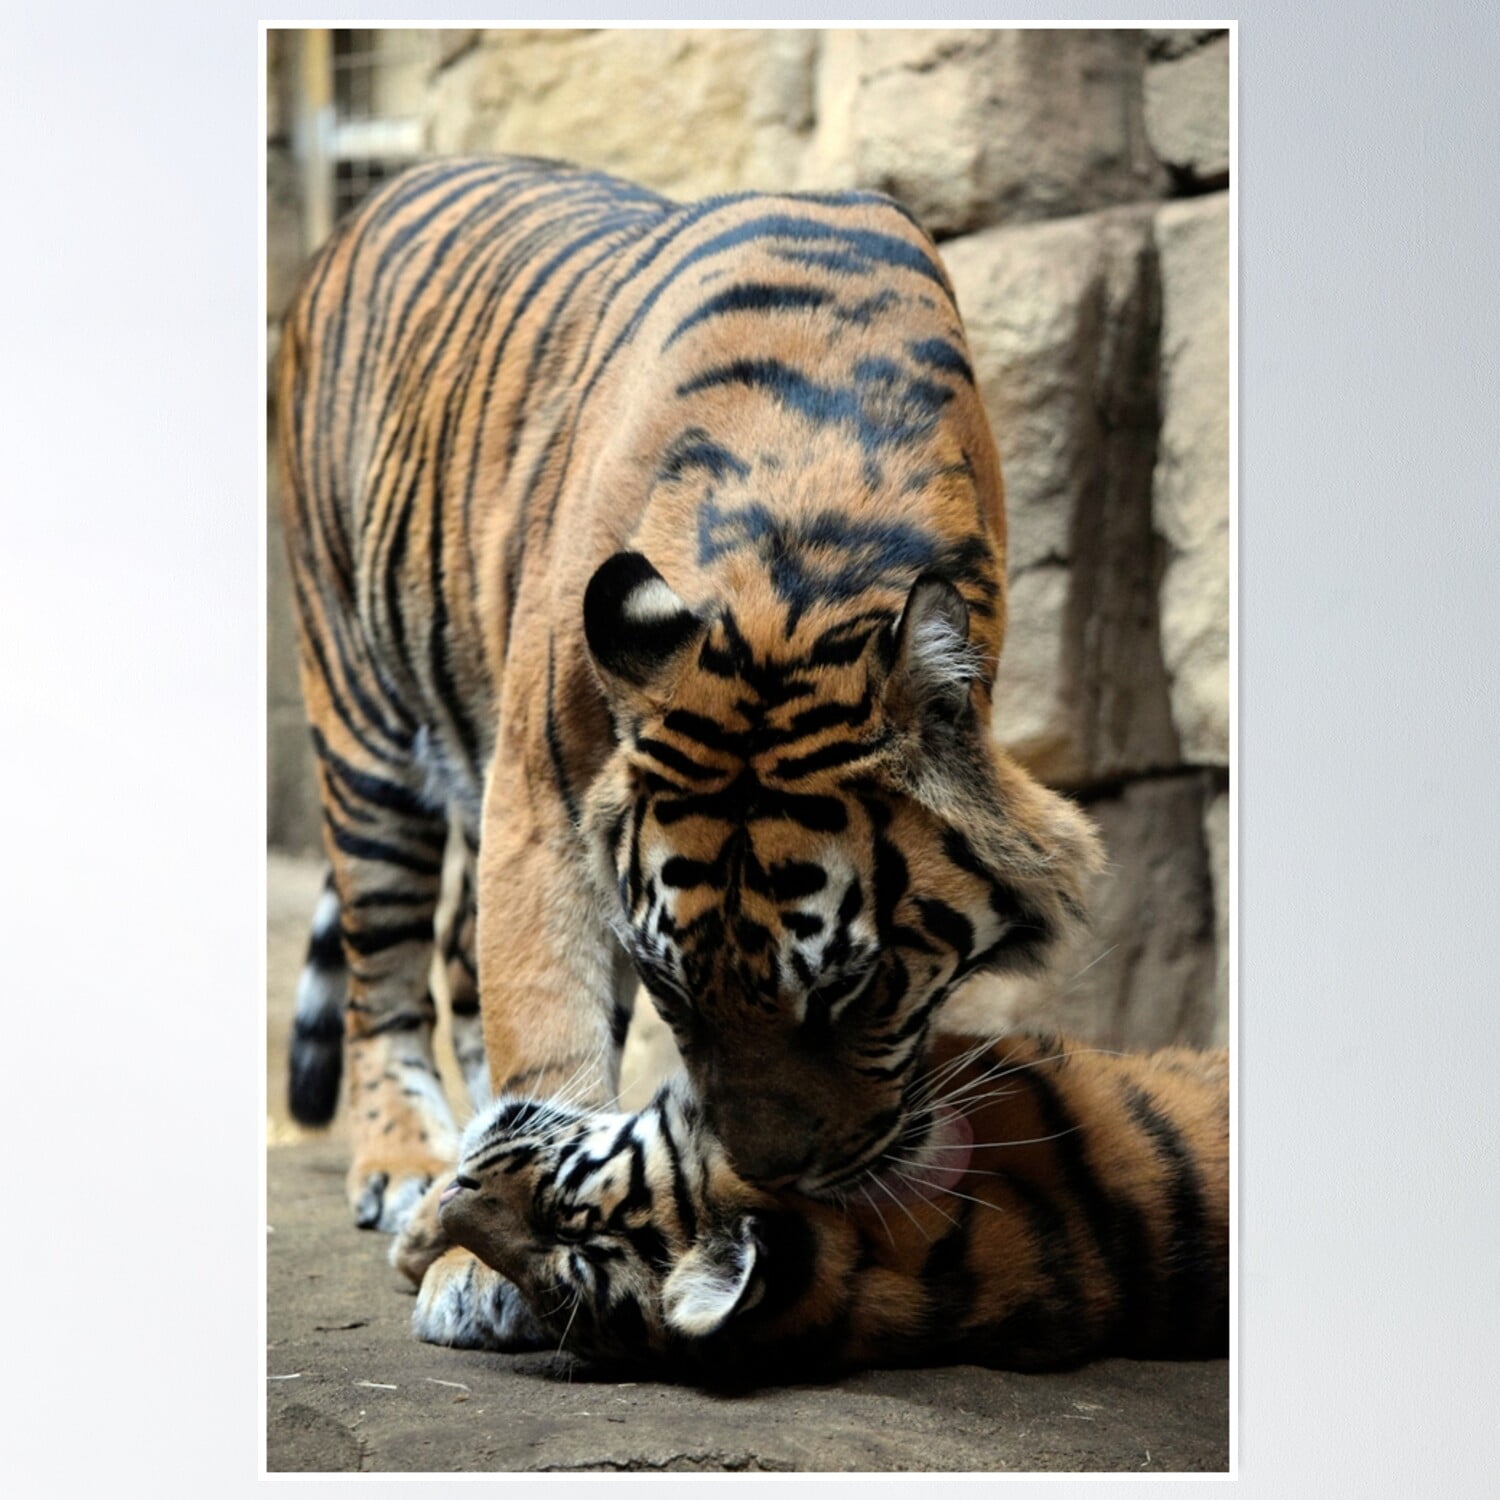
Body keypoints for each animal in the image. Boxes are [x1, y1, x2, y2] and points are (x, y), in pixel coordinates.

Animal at [274, 153, 1101, 1320]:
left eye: (855, 990)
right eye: (669, 992)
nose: (772, 1180)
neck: (798, 570)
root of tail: (373, 198)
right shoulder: (540, 795)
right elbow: (547, 1015)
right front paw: (481, 1263)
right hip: (362, 715)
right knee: (380, 977)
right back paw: (401, 1162)